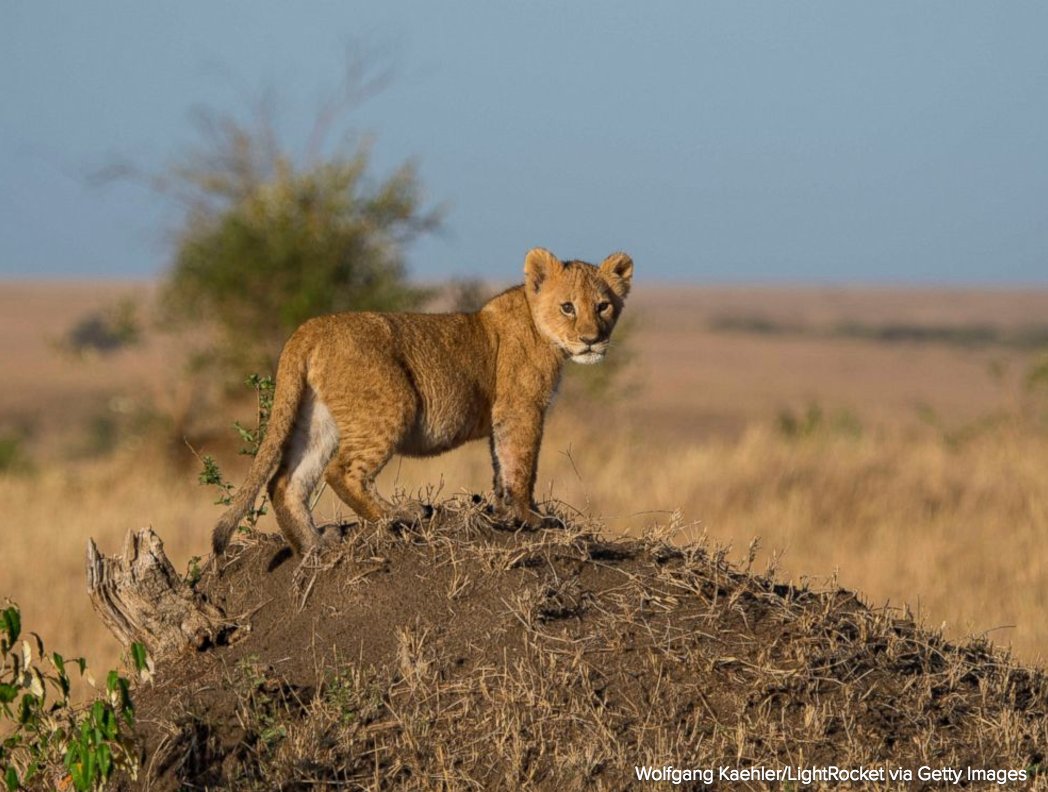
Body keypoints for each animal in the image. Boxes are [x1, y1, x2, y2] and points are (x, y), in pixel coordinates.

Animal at [212, 247, 634, 556]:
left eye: (603, 306)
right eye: (568, 307)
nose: (592, 340)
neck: (538, 325)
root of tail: (310, 327)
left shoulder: (505, 415)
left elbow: (501, 464)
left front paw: (503, 513)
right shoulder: (522, 408)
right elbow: (521, 465)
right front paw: (531, 519)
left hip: (317, 420)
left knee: (285, 481)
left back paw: (315, 546)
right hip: (391, 404)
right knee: (341, 472)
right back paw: (401, 516)